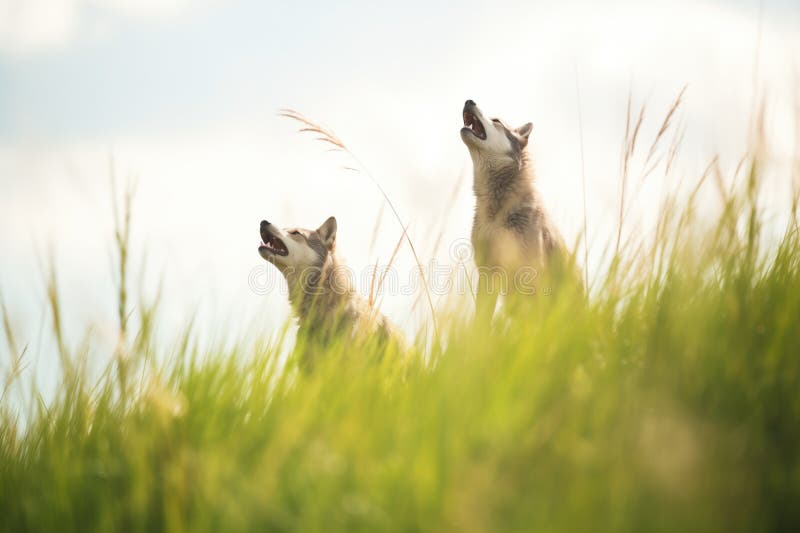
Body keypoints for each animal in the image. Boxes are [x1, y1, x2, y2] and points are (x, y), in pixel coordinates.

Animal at [460, 99, 573, 321]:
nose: (469, 100)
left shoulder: (530, 272)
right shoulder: (487, 271)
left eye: (496, 120)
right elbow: (480, 321)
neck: (497, 210)